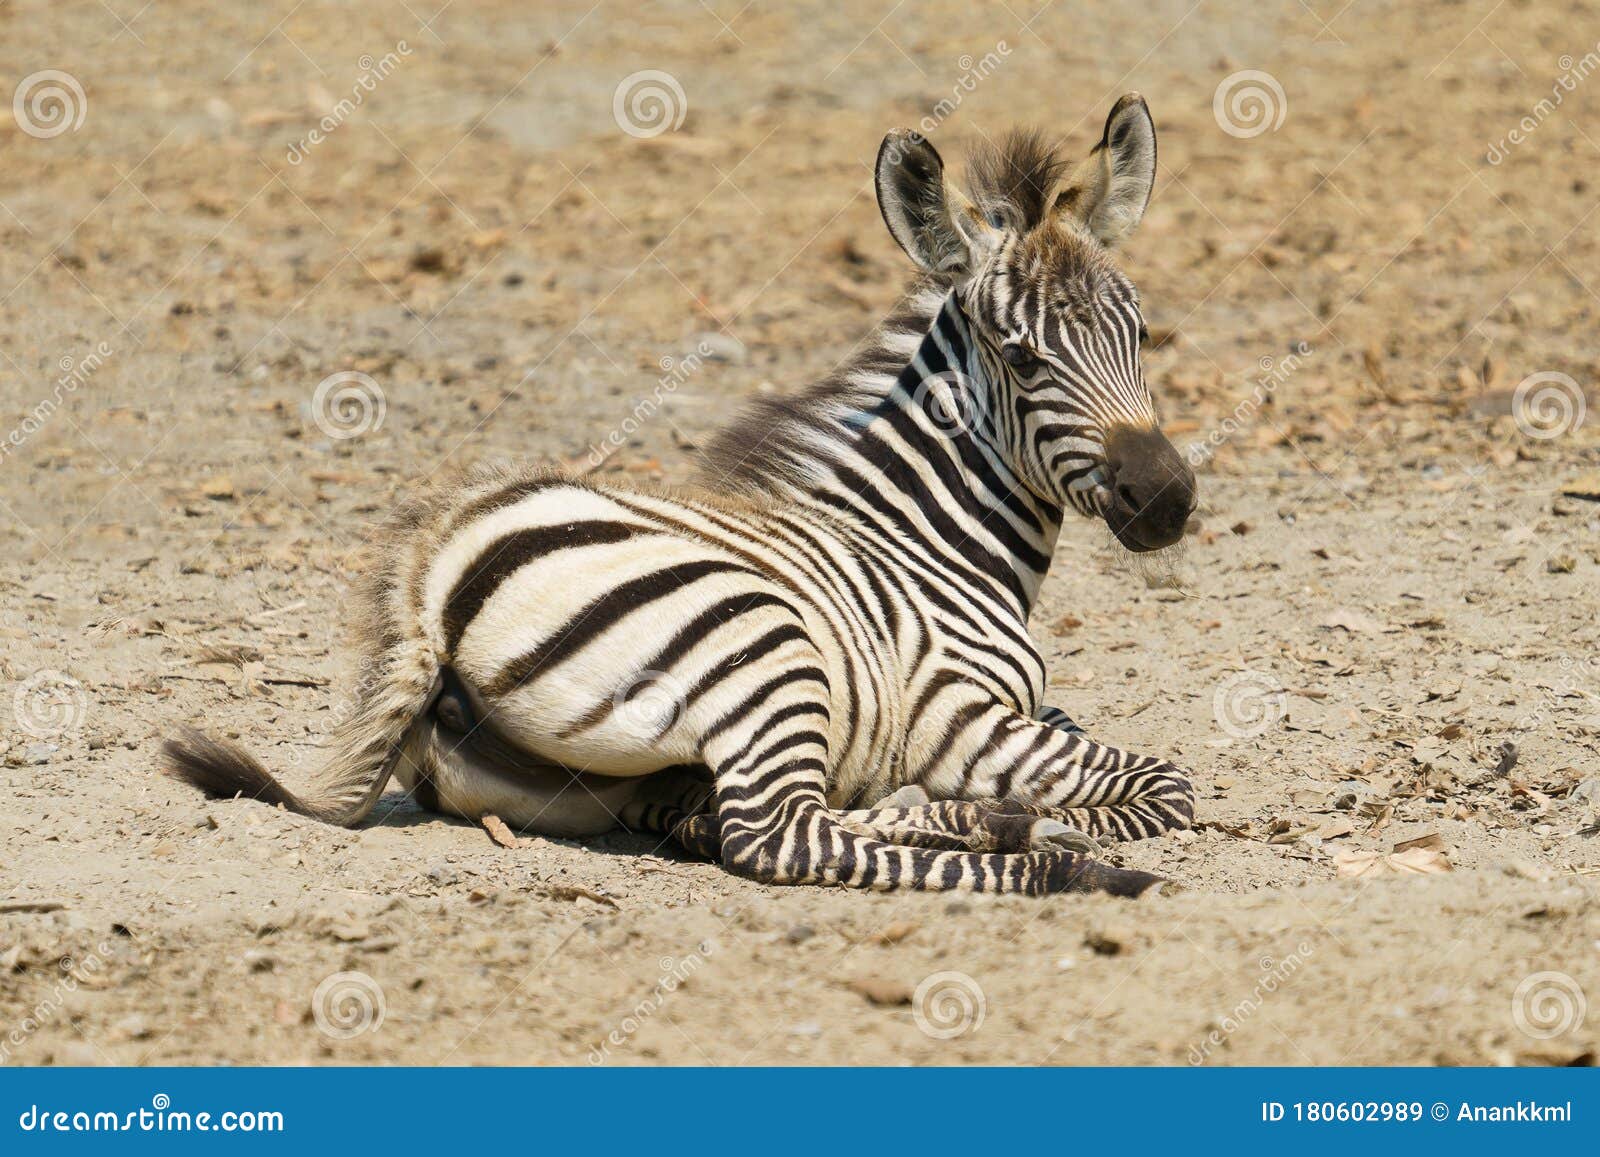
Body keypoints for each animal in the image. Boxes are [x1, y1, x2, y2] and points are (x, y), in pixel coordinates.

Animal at [165, 94, 1199, 897]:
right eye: (1022, 360)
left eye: (1144, 334)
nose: (1167, 497)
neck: (928, 539)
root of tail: (433, 577)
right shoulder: (960, 716)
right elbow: (1164, 785)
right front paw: (1051, 821)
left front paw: (992, 808)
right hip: (766, 647)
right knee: (778, 834)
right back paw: (1054, 859)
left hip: (595, 776)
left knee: (731, 816)